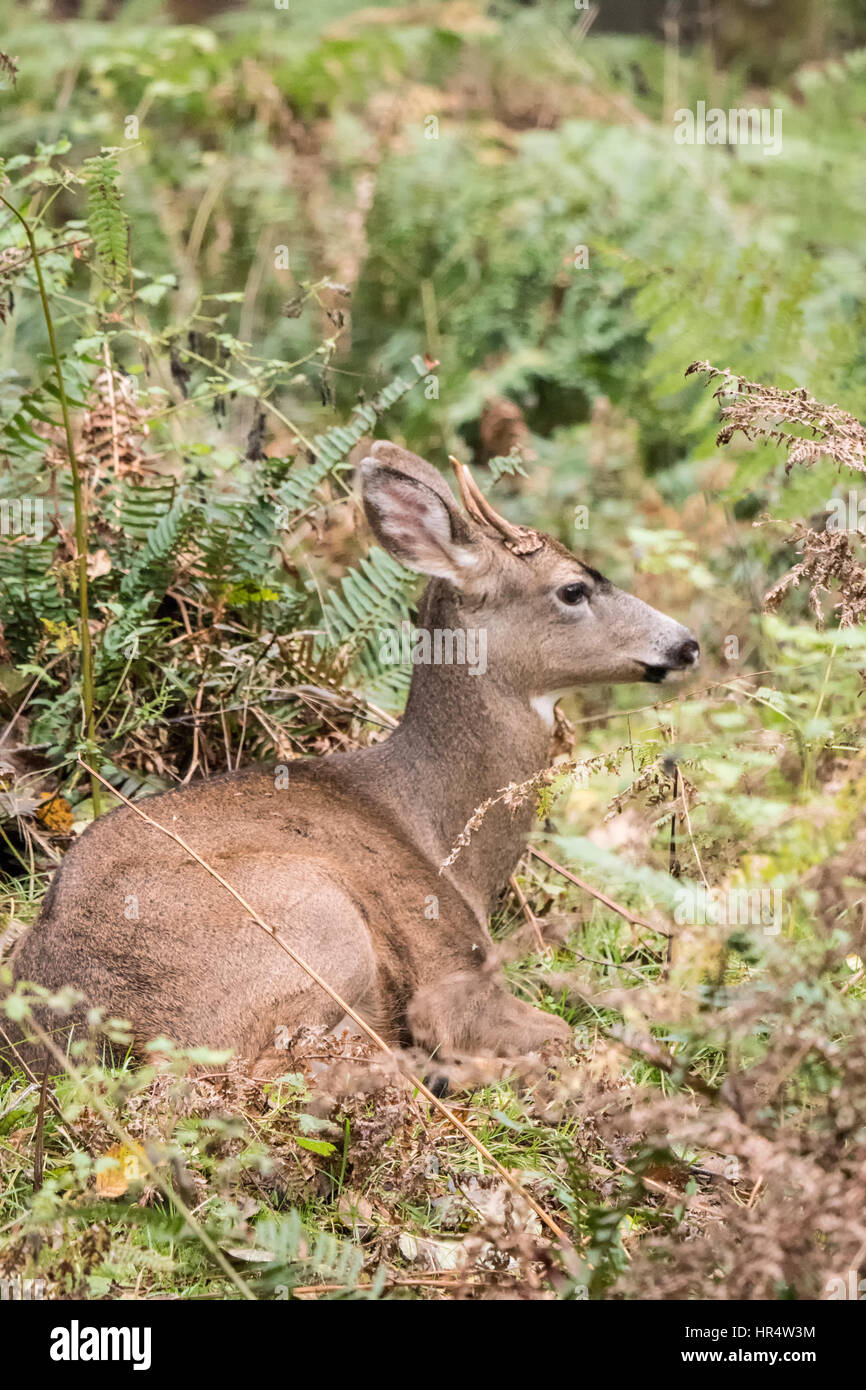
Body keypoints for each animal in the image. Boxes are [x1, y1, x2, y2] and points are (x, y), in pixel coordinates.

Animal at [3, 441, 699, 1075]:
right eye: (573, 589)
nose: (686, 643)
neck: (442, 834)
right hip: (313, 920)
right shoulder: (448, 964)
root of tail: (70, 1034)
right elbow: (566, 1034)